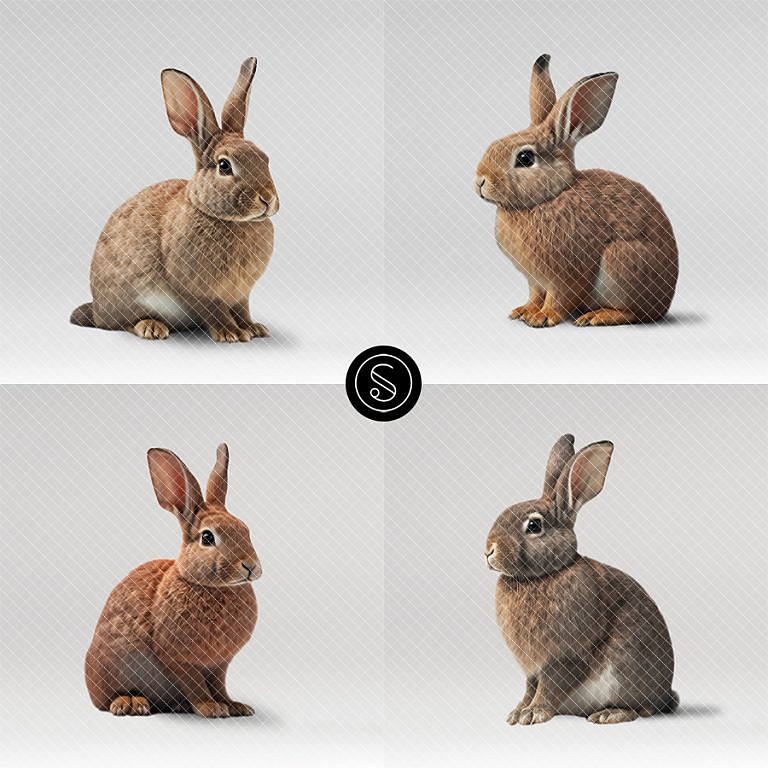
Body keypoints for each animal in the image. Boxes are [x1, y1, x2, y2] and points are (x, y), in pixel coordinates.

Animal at [70, 58, 278, 342]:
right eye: (224, 166)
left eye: (265, 158)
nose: (268, 199)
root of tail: (97, 310)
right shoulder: (198, 291)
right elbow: (215, 309)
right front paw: (231, 333)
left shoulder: (240, 294)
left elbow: (242, 309)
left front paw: (253, 328)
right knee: (120, 323)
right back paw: (151, 327)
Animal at [85, 444, 262, 717]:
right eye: (207, 537)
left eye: (245, 529)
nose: (250, 566)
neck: (207, 586)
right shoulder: (178, 659)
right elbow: (195, 683)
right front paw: (211, 708)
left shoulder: (219, 664)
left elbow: (219, 685)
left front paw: (234, 706)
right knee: (107, 700)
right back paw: (130, 703)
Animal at [475, 55, 678, 327]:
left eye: (525, 158)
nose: (480, 180)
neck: (549, 197)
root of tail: (665, 302)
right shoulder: (535, 280)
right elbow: (534, 295)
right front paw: (524, 312)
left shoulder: (563, 276)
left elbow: (558, 298)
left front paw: (543, 318)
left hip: (621, 262)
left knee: (635, 314)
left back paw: (597, 316)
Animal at [485, 434, 678, 725]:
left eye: (534, 526)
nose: (489, 549)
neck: (543, 576)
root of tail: (666, 693)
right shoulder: (532, 670)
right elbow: (530, 687)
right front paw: (518, 712)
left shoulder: (564, 656)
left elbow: (550, 686)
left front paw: (533, 713)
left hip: (625, 669)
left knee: (643, 709)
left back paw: (609, 714)